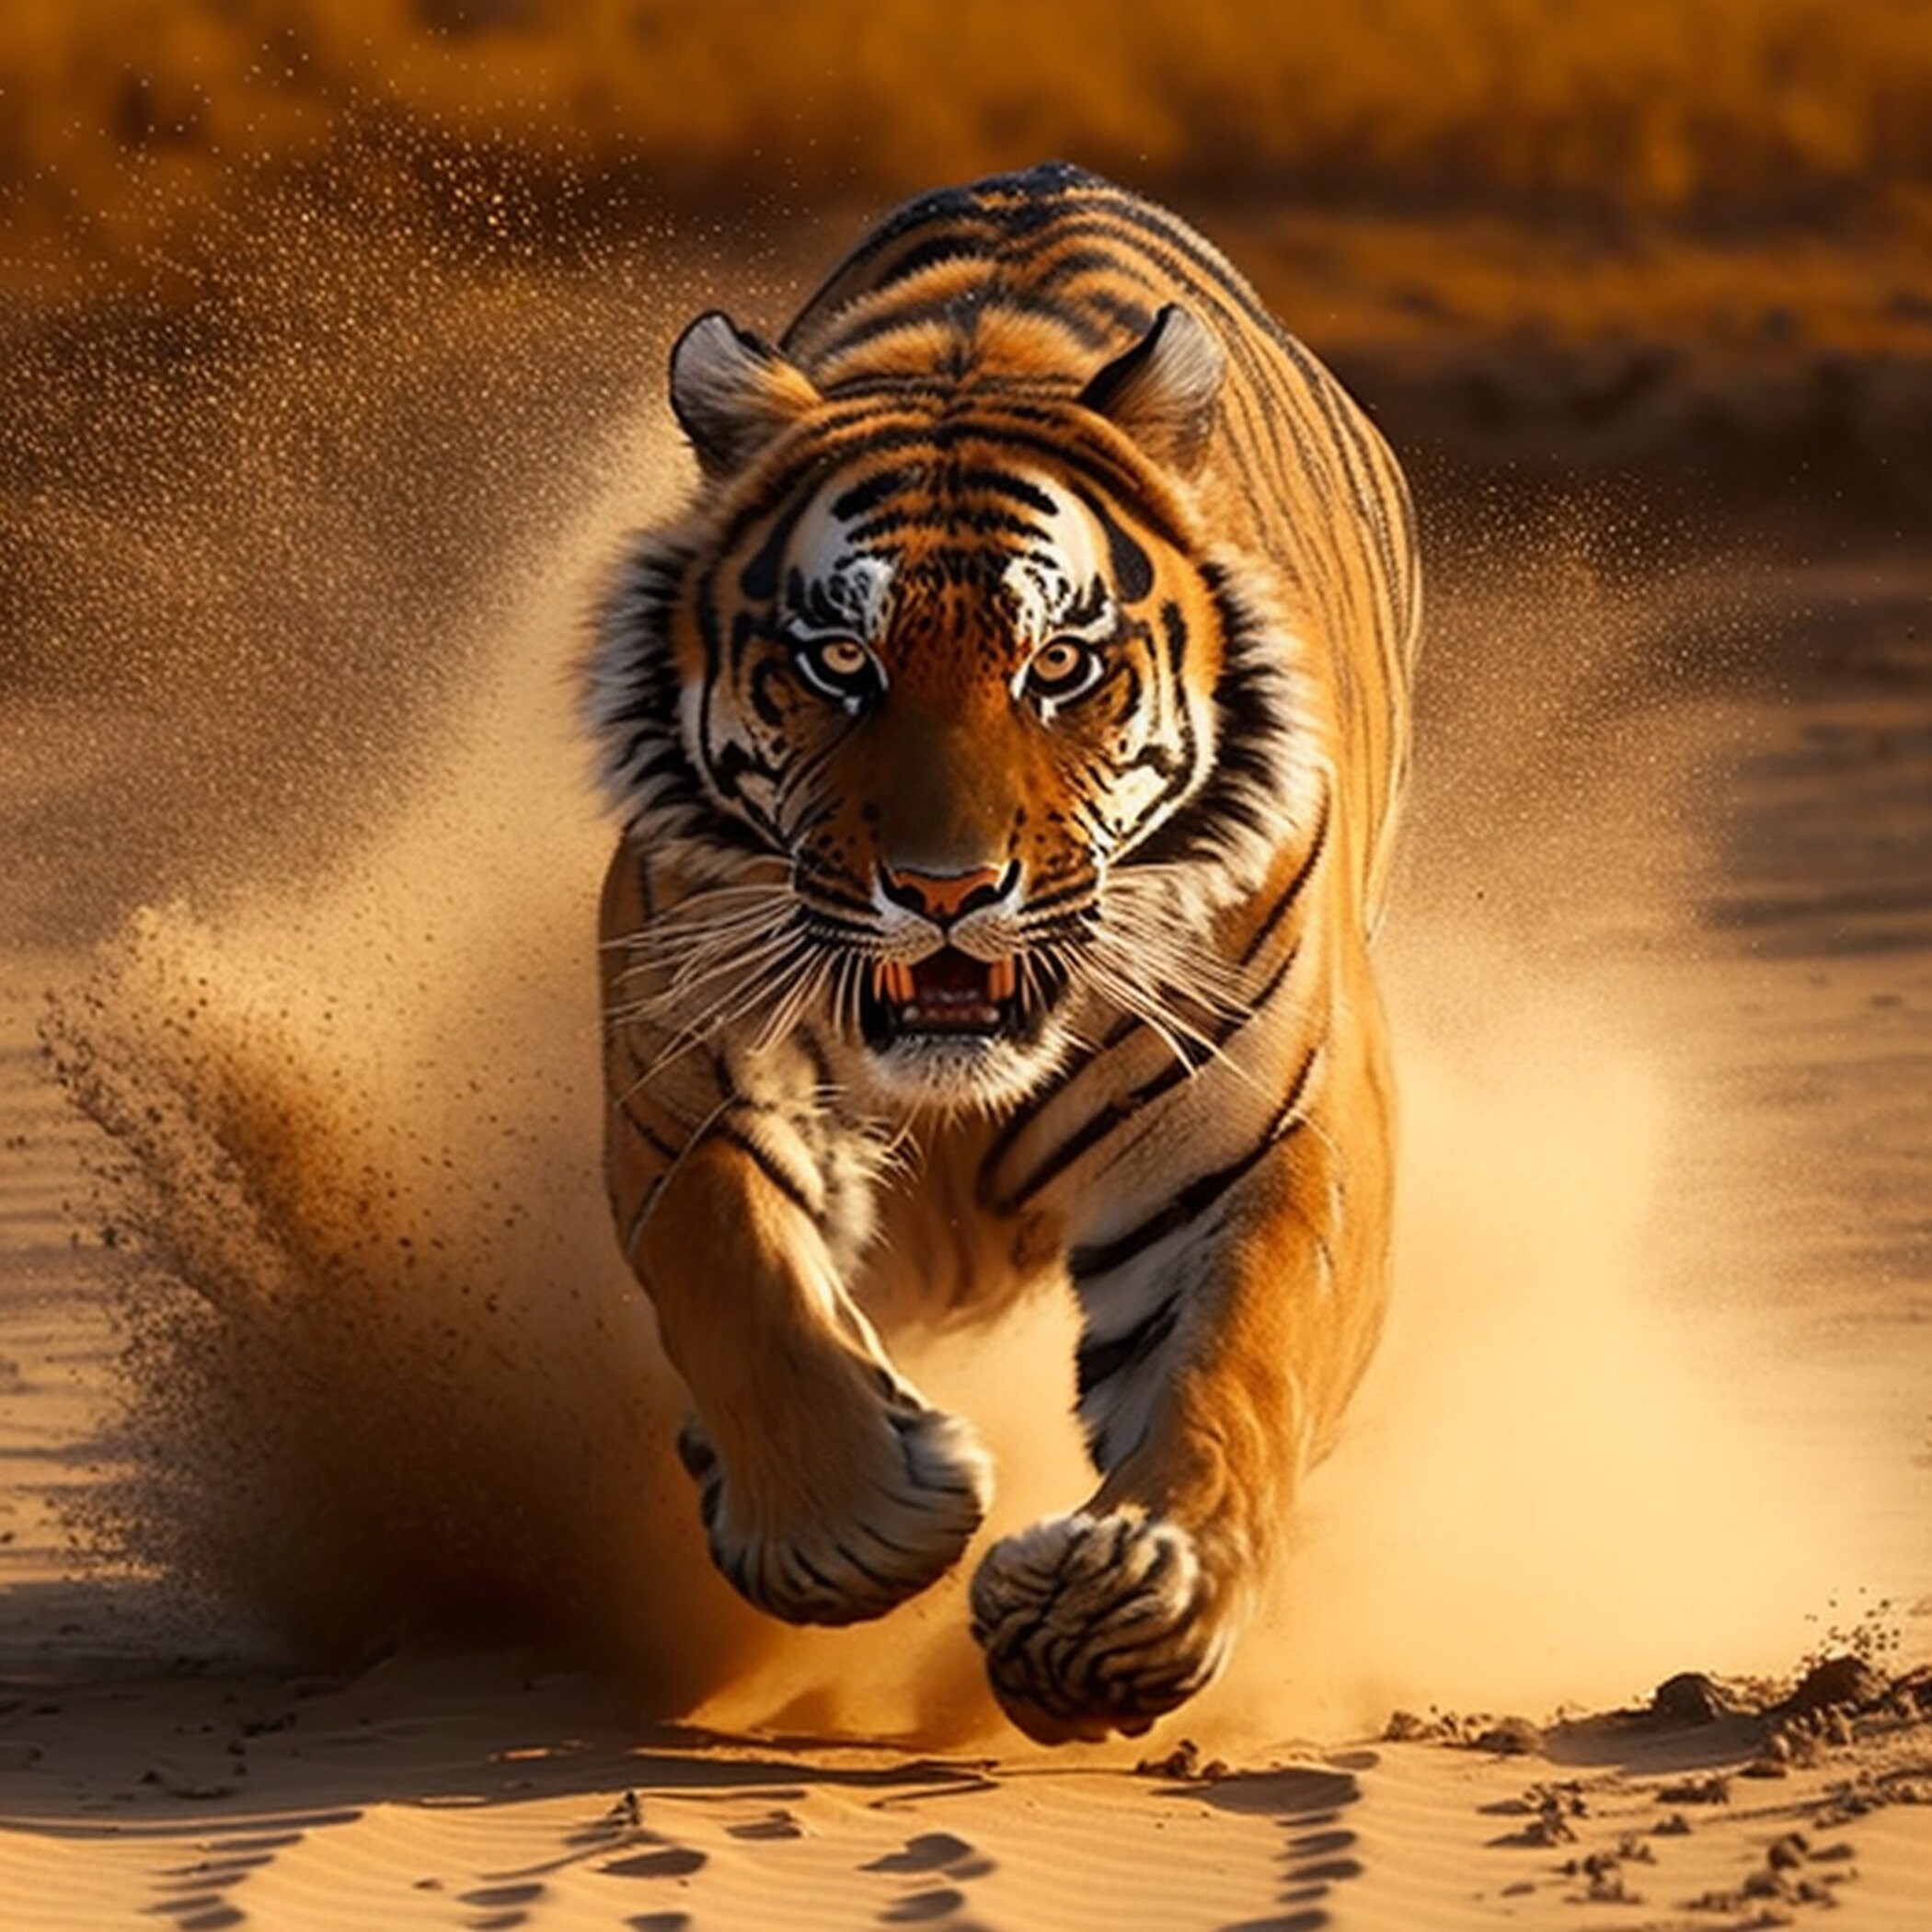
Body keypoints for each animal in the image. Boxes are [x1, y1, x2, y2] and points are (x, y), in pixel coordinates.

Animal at [587, 162, 1420, 1744]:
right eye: (838, 664)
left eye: (1060, 668)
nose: (946, 890)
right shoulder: (687, 1065)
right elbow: (735, 1264)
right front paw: (864, 1516)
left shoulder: (1270, 1128)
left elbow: (1241, 1358)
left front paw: (1119, 1601)